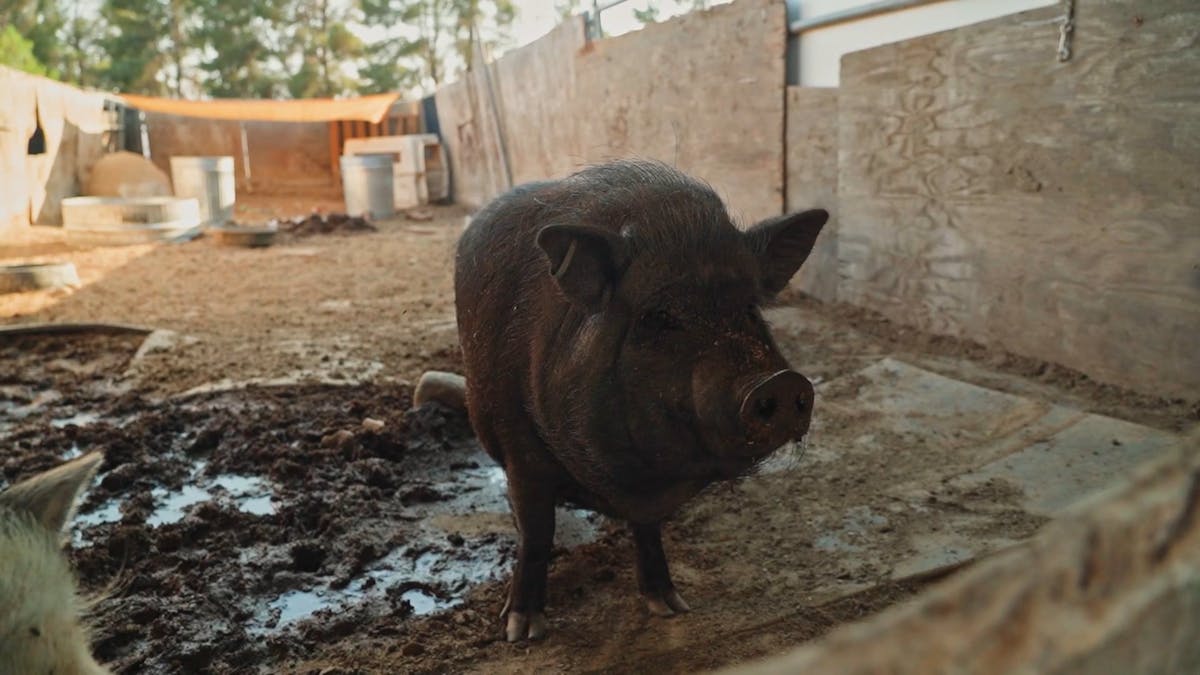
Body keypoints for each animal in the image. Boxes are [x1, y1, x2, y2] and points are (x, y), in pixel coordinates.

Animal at [454, 159, 828, 642]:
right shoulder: (520, 448)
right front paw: (522, 631)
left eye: (749, 308)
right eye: (659, 316)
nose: (779, 382)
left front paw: (671, 607)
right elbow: (538, 533)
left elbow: (649, 529)